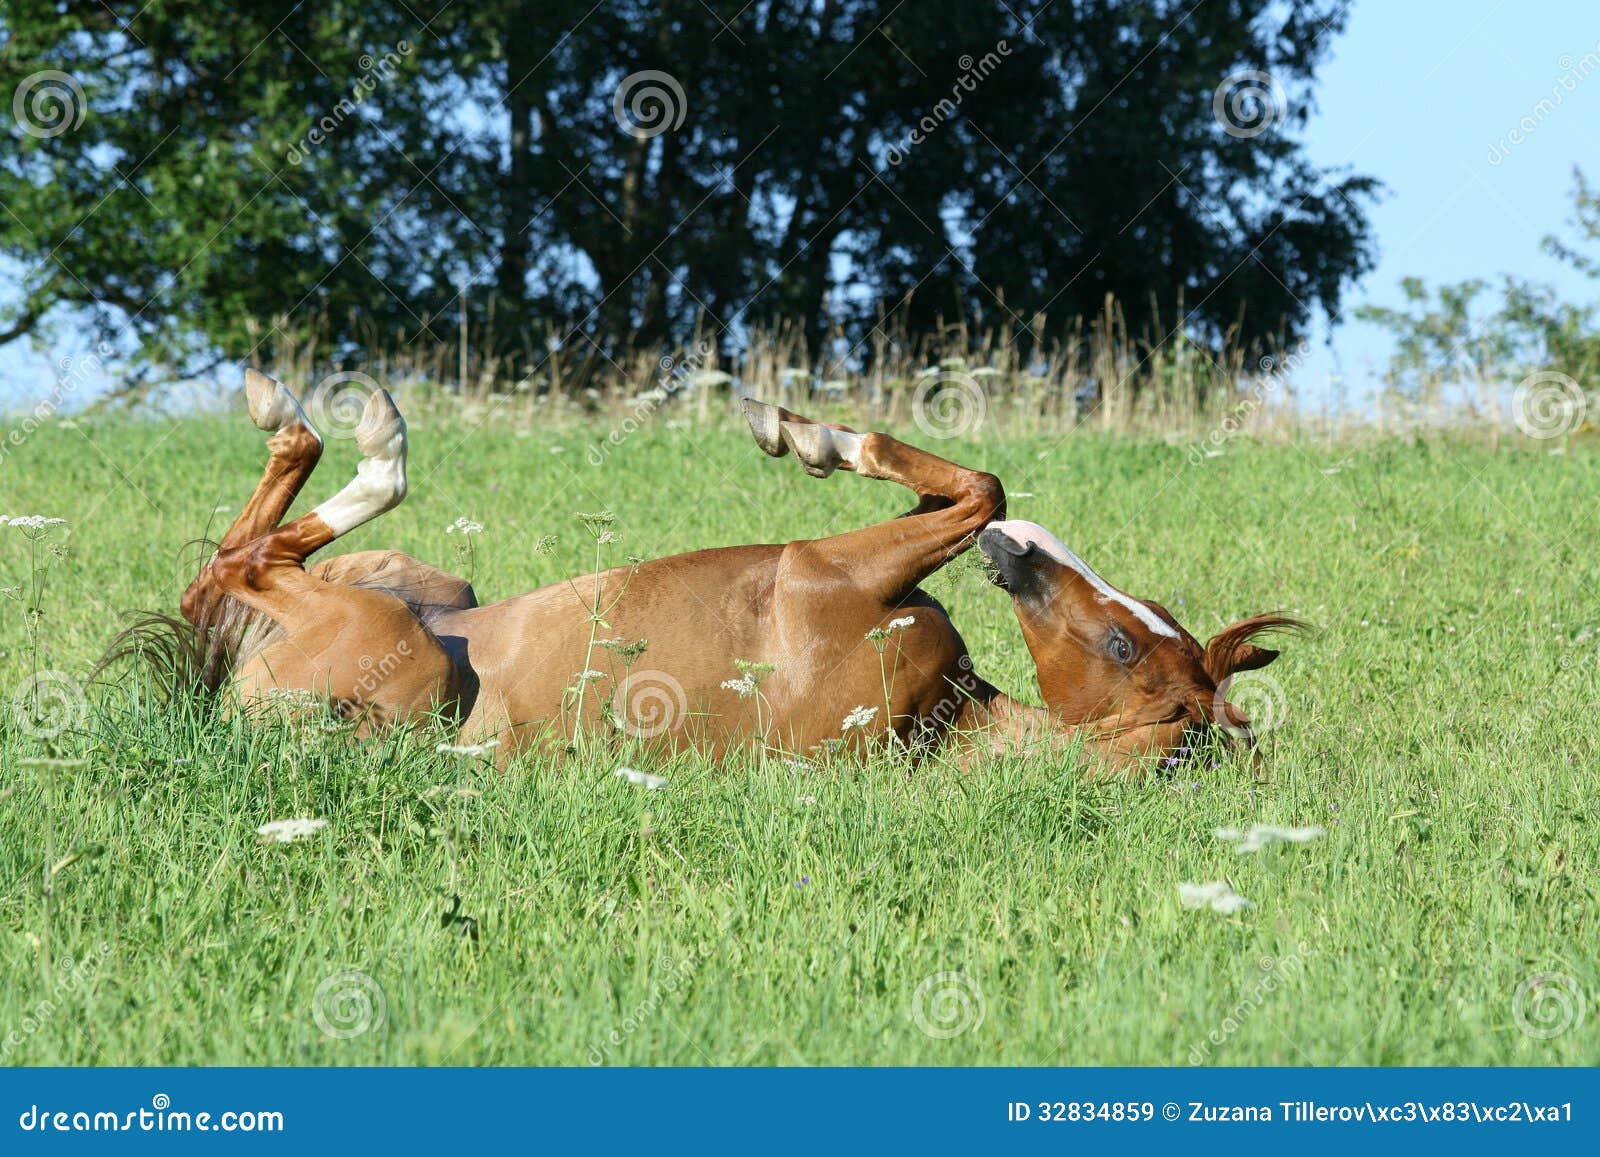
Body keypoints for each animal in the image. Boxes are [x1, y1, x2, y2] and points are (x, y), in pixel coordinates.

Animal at [165, 370, 1299, 773]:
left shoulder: (823, 574)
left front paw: (803, 433)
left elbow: (978, 484)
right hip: (432, 591)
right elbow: (973, 486)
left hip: (405, 650)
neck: (939, 721)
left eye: (1120, 642)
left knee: (242, 564)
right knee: (229, 569)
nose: (1027, 556)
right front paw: (798, 427)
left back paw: (344, 430)